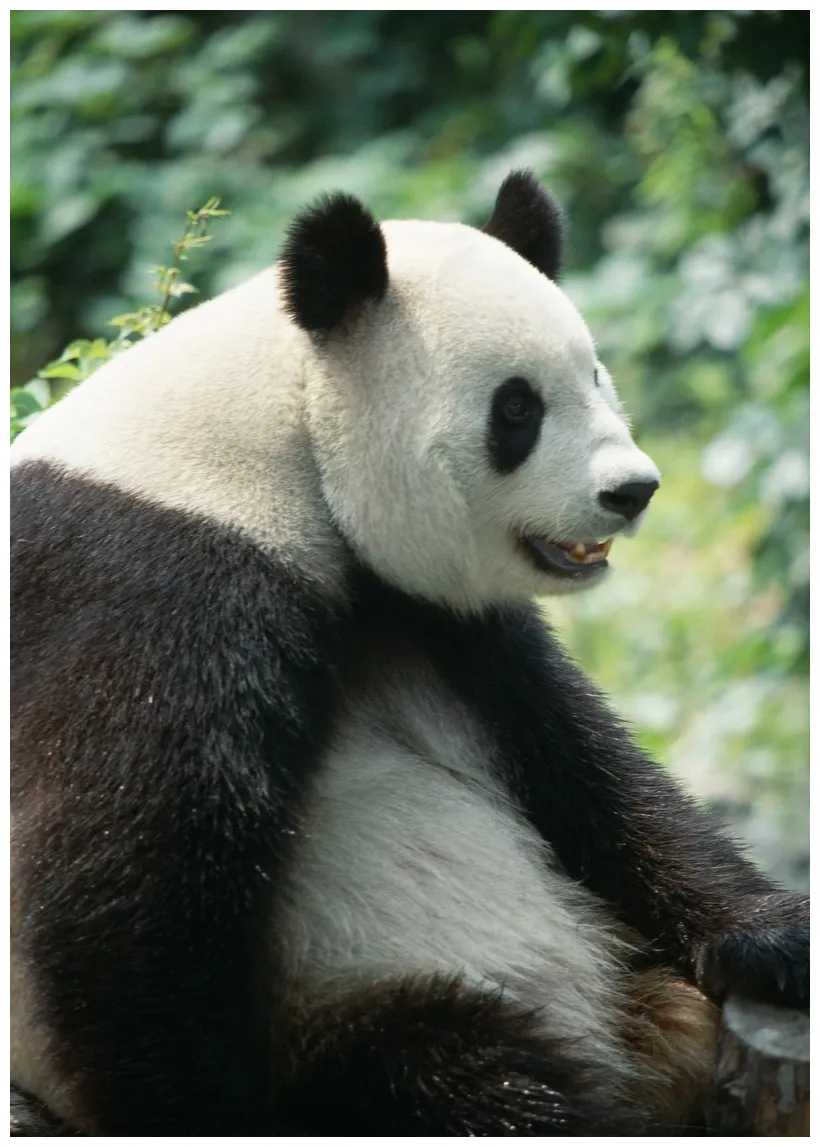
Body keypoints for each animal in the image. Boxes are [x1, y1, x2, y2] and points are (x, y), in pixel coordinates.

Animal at [10, 171, 808, 1136]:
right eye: (518, 407)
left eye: (596, 377)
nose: (632, 490)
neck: (285, 431)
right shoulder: (156, 589)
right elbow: (119, 886)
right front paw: (210, 1107)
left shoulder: (437, 616)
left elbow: (586, 769)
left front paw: (773, 936)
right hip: (362, 988)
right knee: (460, 1071)